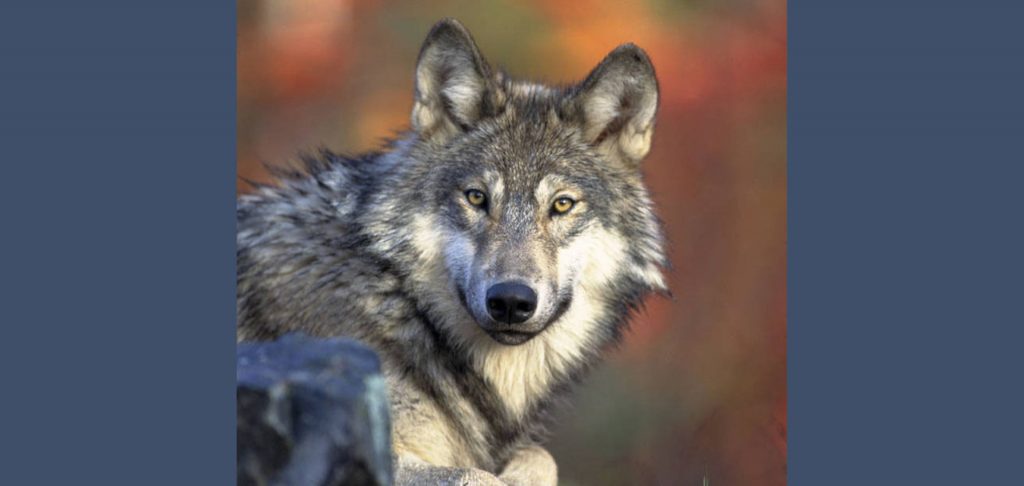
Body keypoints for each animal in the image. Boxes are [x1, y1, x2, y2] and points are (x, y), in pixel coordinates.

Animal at [237, 18, 667, 485]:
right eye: (477, 198)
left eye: (562, 205)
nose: (511, 301)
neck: (399, 302)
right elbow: (475, 475)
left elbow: (540, 458)